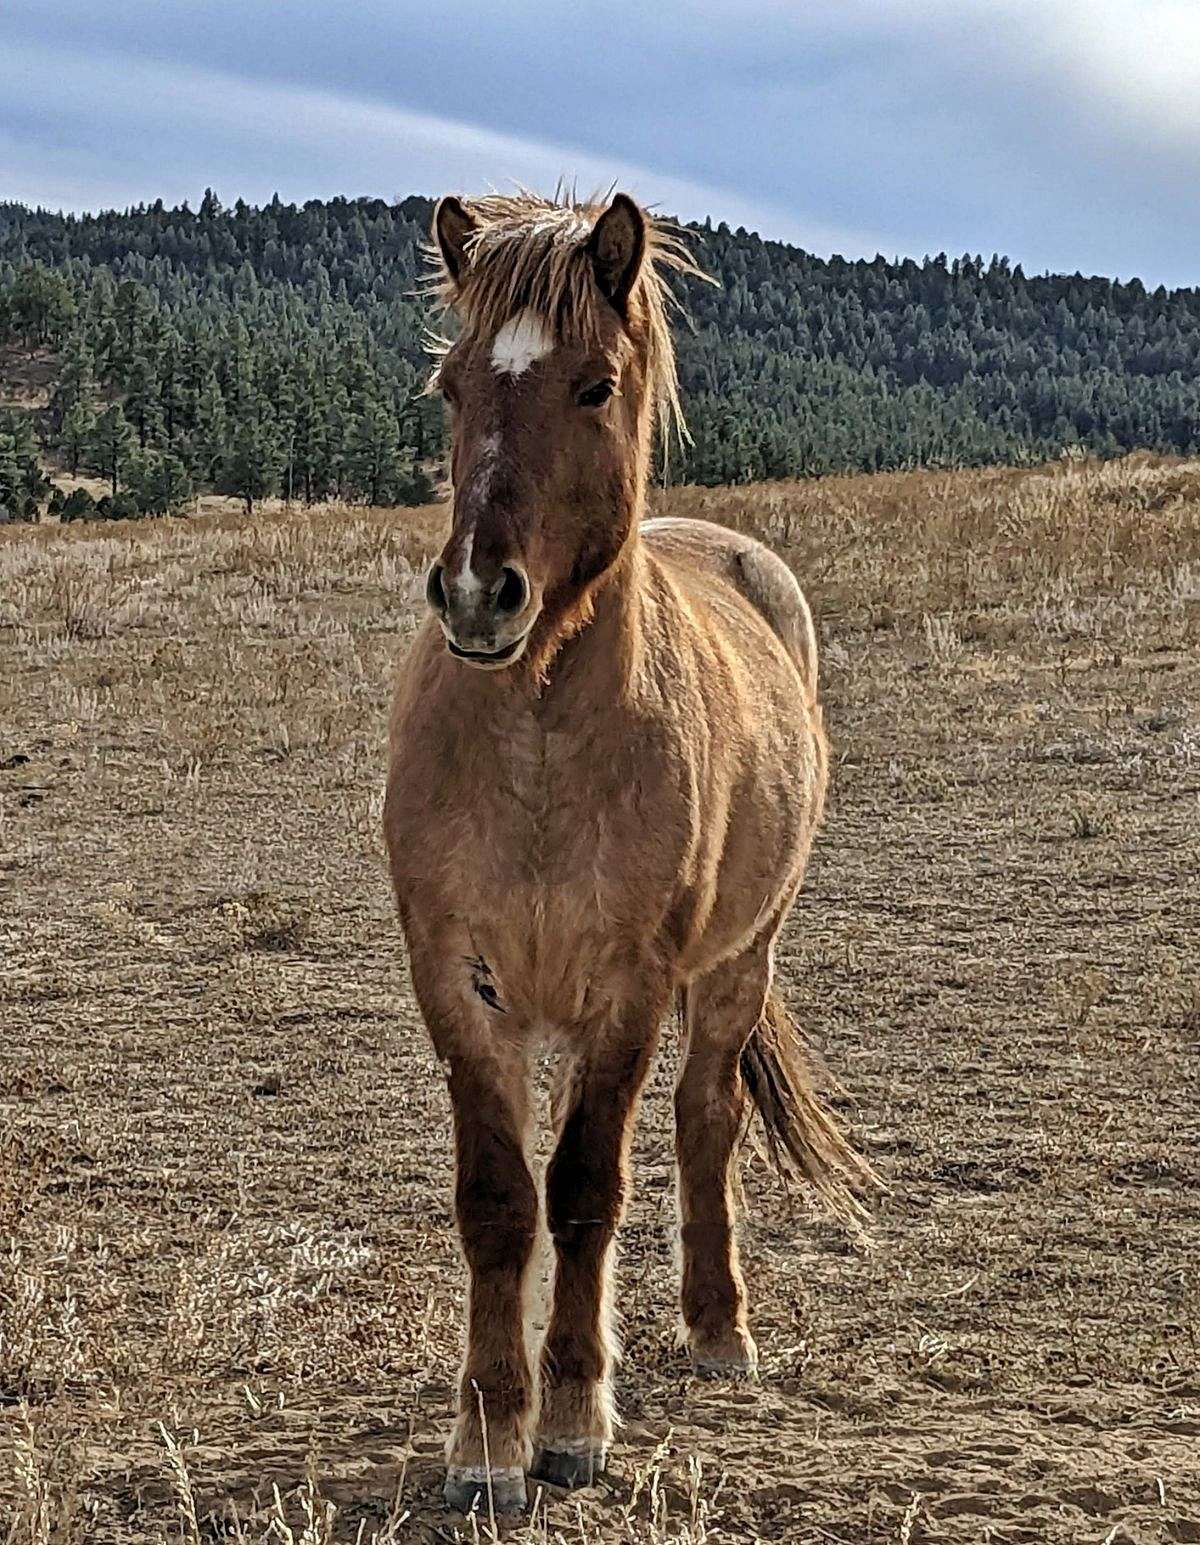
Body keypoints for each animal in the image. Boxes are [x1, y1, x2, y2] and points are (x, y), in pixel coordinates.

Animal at [383, 190, 875, 1514]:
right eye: (451, 384)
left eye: (594, 385)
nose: (478, 595)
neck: (542, 749)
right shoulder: (459, 985)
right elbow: (502, 1200)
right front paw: (486, 1437)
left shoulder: (633, 990)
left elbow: (587, 1191)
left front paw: (569, 1425)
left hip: (738, 965)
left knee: (707, 1122)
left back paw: (718, 1329)